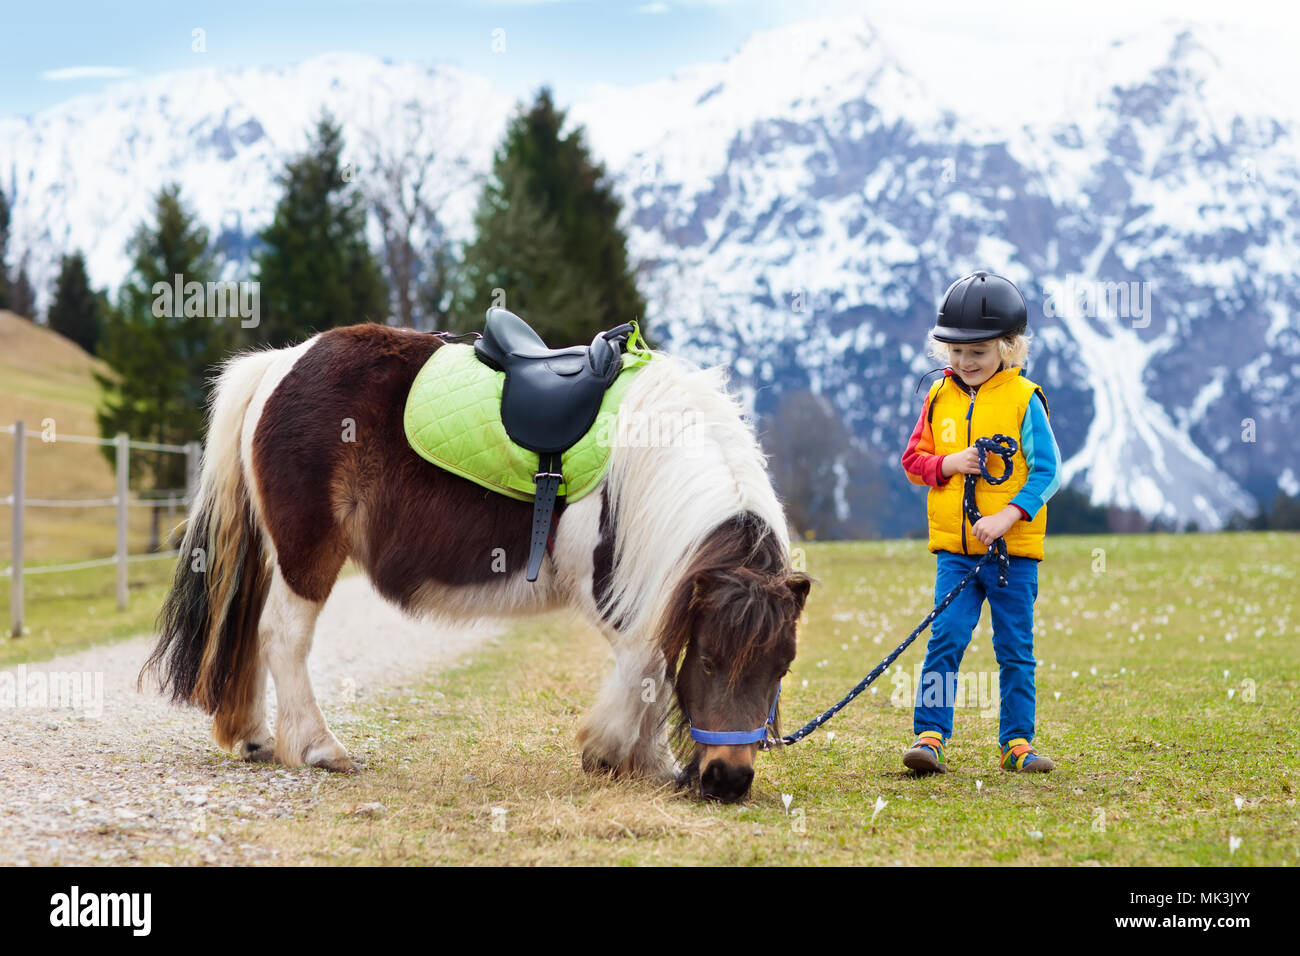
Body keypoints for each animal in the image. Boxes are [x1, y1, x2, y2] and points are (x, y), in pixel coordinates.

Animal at [142, 322, 812, 803]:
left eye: (783, 665)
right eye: (711, 658)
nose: (728, 780)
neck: (650, 465)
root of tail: (280, 362)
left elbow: (654, 665)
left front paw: (647, 762)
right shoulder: (620, 591)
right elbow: (648, 662)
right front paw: (614, 752)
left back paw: (257, 737)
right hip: (307, 554)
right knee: (282, 636)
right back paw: (317, 748)